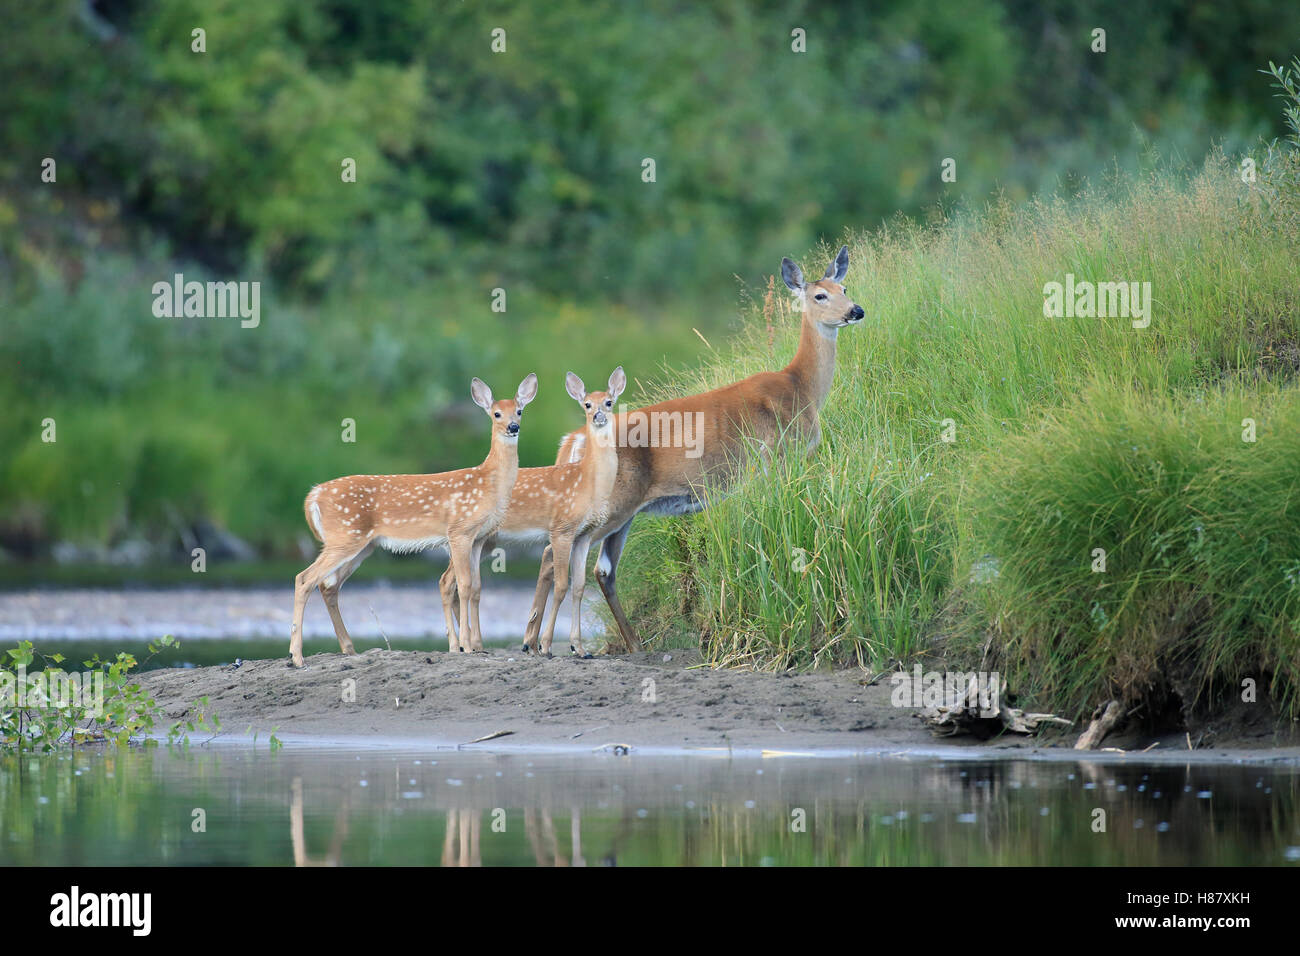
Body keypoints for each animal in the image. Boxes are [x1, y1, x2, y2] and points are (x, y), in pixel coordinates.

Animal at [288, 372, 538, 668]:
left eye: (519, 410)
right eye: (496, 413)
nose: (513, 426)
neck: (489, 483)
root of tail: (313, 496)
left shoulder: (478, 538)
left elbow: (476, 587)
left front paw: (474, 646)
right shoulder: (460, 531)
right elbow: (464, 586)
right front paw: (465, 647)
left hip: (363, 545)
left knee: (328, 585)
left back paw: (348, 649)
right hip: (345, 536)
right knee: (304, 579)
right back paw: (297, 656)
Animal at [439, 367, 626, 658]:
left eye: (609, 402)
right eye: (587, 404)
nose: (599, 416)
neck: (586, 481)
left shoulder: (585, 534)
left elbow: (580, 587)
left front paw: (580, 647)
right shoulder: (561, 528)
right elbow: (561, 586)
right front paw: (547, 645)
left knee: (456, 583)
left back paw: (471, 644)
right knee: (447, 581)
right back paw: (459, 645)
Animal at [519, 246, 863, 655]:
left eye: (844, 287)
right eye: (820, 295)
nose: (855, 311)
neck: (802, 389)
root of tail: (573, 440)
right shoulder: (775, 463)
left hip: (623, 510)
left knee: (598, 568)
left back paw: (614, 642)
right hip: (610, 503)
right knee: (558, 553)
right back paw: (543, 641)